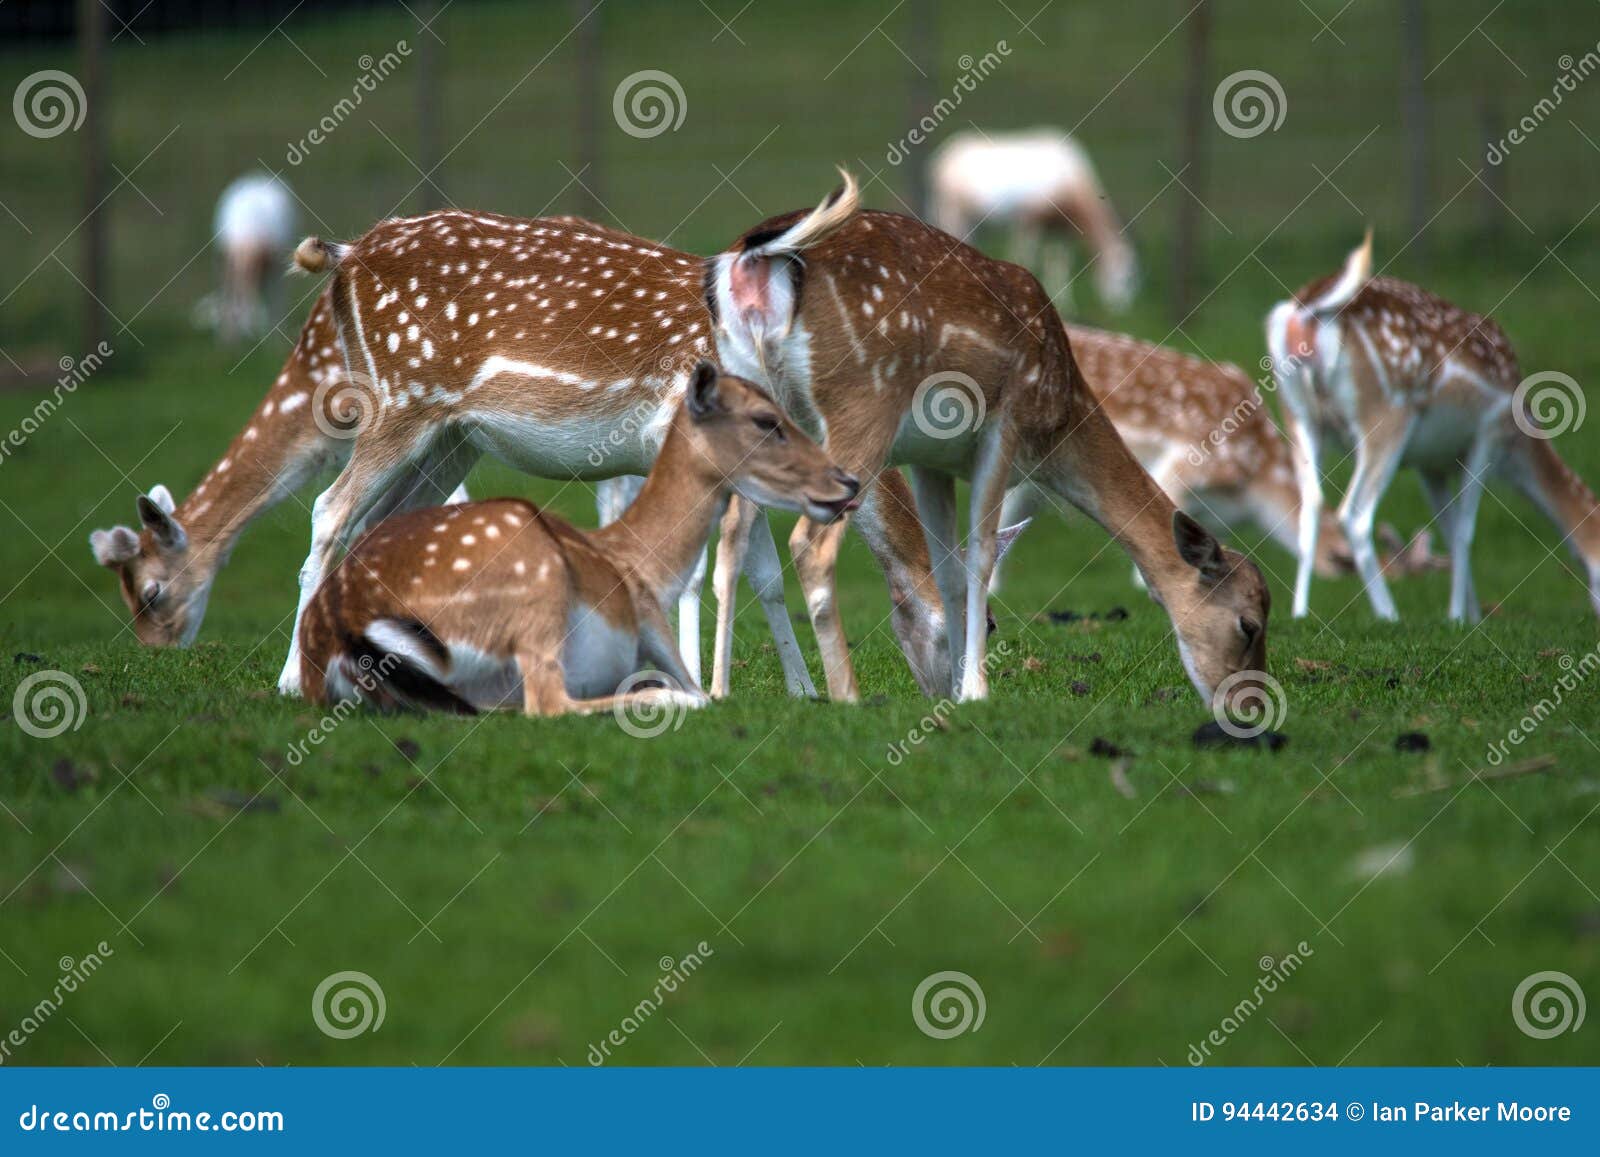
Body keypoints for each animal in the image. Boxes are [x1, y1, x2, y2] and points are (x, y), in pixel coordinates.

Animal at [296, 362, 859, 714]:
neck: (641, 562)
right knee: (547, 703)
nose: (847, 482)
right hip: (536, 595)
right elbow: (695, 689)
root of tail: (344, 633)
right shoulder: (652, 625)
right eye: (767, 421)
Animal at [706, 172, 1270, 709]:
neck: (1059, 412)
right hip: (862, 400)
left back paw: (718, 691)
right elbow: (978, 554)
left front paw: (958, 690)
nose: (1249, 704)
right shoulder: (1005, 426)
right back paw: (846, 694)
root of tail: (756, 260)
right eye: (1249, 624)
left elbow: (948, 569)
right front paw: (977, 691)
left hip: (753, 398)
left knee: (733, 536)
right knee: (810, 542)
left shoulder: (926, 457)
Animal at [929, 130, 1138, 314]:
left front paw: (1066, 304)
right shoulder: (1030, 220)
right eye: (1127, 277)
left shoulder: (1060, 229)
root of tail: (944, 156)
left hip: (973, 221)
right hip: (952, 211)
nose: (1120, 308)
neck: (1068, 178)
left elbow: (1058, 262)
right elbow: (1027, 256)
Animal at [1268, 232, 1600, 623]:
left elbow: (1448, 526)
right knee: (1354, 514)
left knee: (1310, 505)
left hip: (1298, 413)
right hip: (1387, 412)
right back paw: (1389, 615)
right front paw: (1458, 616)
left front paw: (1471, 615)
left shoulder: (1432, 465)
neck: (1517, 444)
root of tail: (1308, 310)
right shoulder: (1488, 432)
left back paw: (1300, 613)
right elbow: (1464, 531)